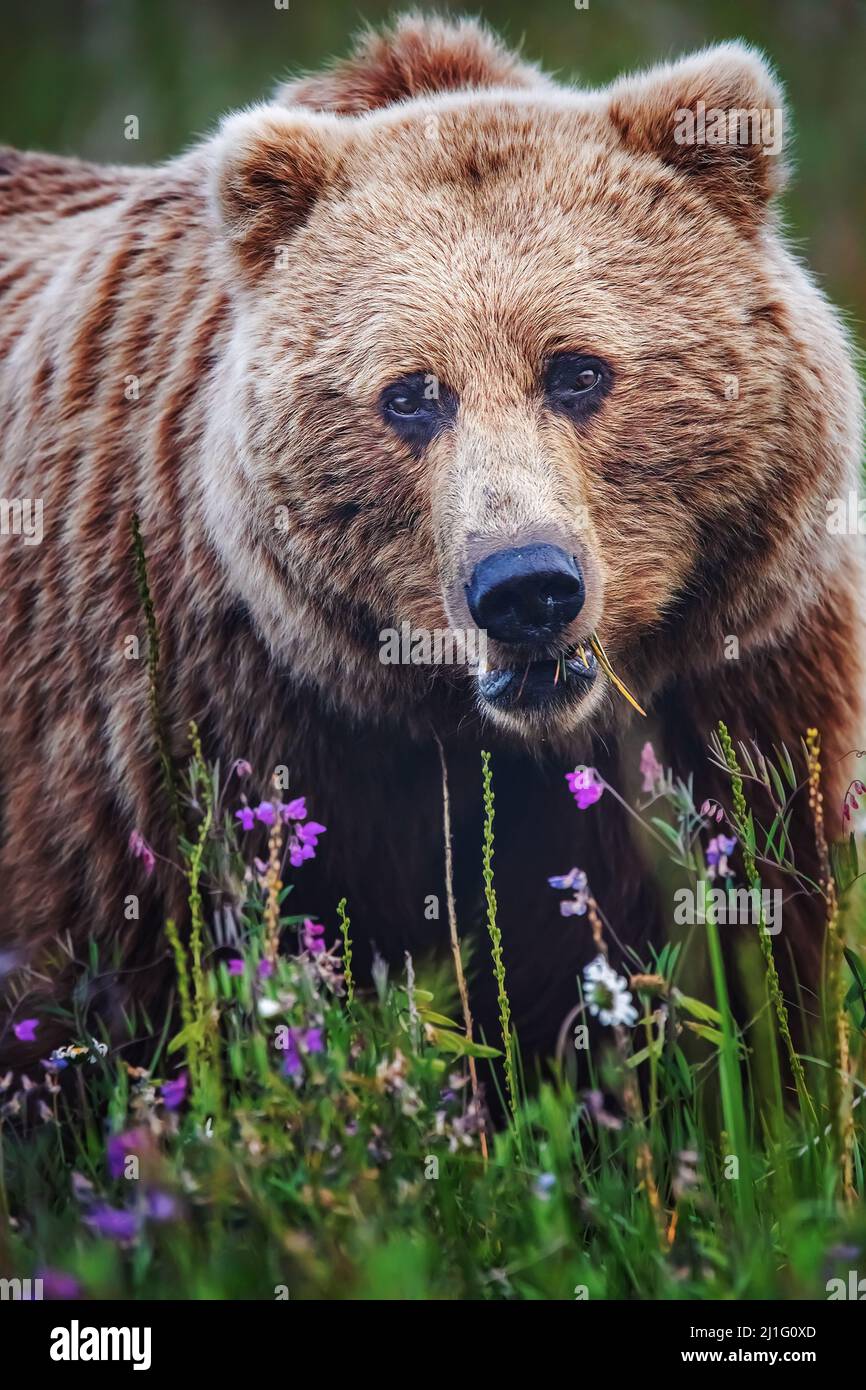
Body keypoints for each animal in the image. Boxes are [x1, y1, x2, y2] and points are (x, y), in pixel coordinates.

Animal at [0, 13, 863, 1079]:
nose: (525, 587)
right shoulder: (182, 734)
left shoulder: (749, 670)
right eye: (411, 394)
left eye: (578, 370)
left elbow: (765, 942)